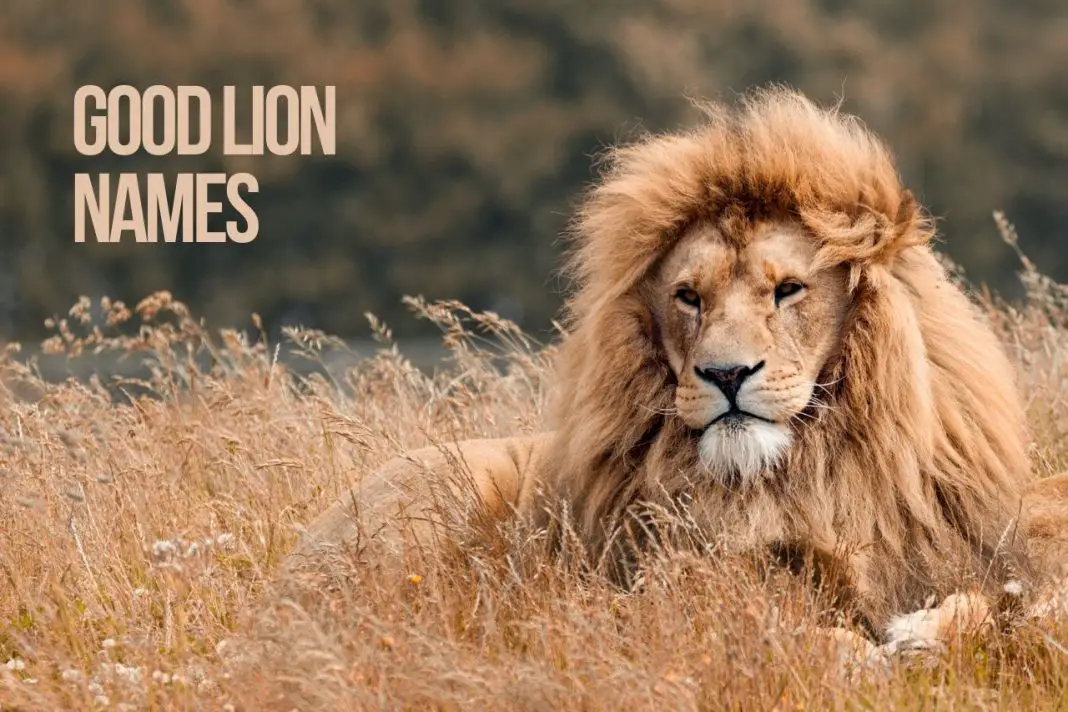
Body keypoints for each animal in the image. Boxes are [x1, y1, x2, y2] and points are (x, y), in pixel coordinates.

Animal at [287, 87, 1068, 654]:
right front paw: (859, 654)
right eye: (689, 297)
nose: (725, 374)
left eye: (788, 290)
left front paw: (928, 632)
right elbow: (784, 632)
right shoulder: (670, 587)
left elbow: (998, 603)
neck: (808, 477)